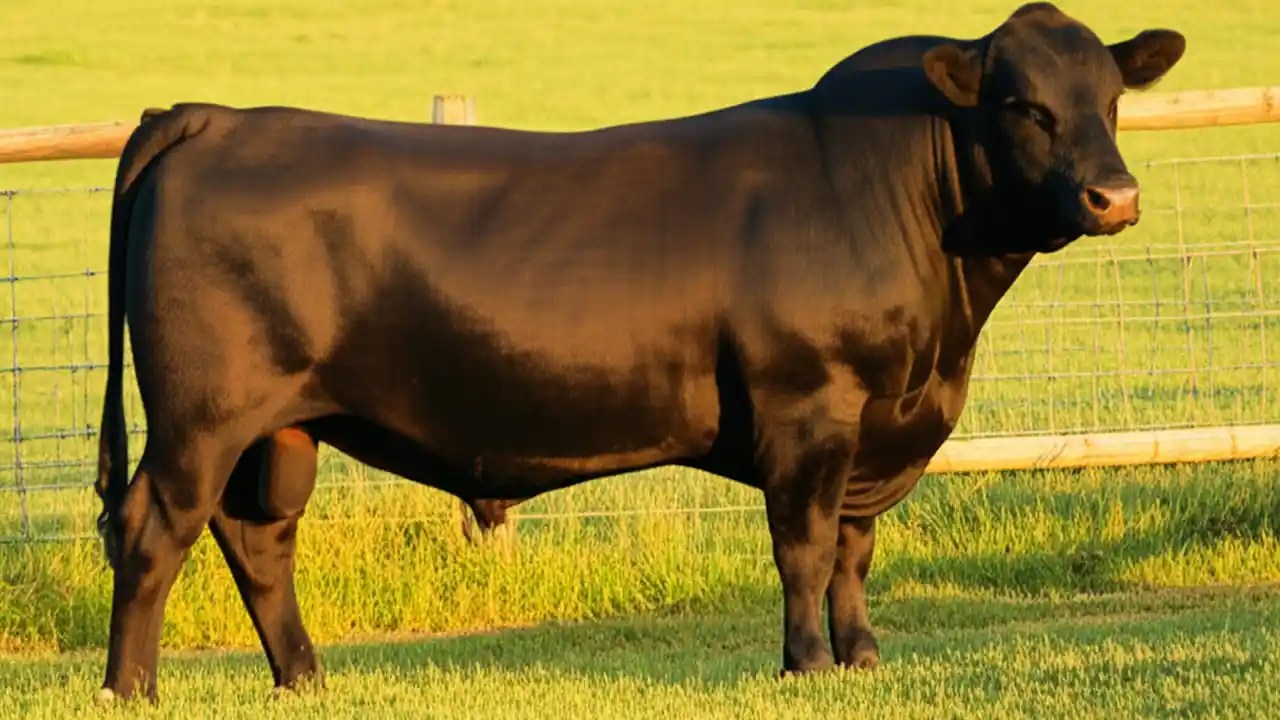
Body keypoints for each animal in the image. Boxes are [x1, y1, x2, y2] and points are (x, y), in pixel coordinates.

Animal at [91, 2, 1183, 702]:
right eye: (1022, 105)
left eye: (1110, 101)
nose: (1116, 196)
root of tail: (215, 118)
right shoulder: (810, 405)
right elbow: (803, 542)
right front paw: (806, 664)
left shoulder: (880, 421)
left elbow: (853, 550)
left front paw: (864, 658)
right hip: (201, 415)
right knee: (154, 529)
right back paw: (132, 688)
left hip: (281, 426)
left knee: (257, 536)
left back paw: (307, 679)